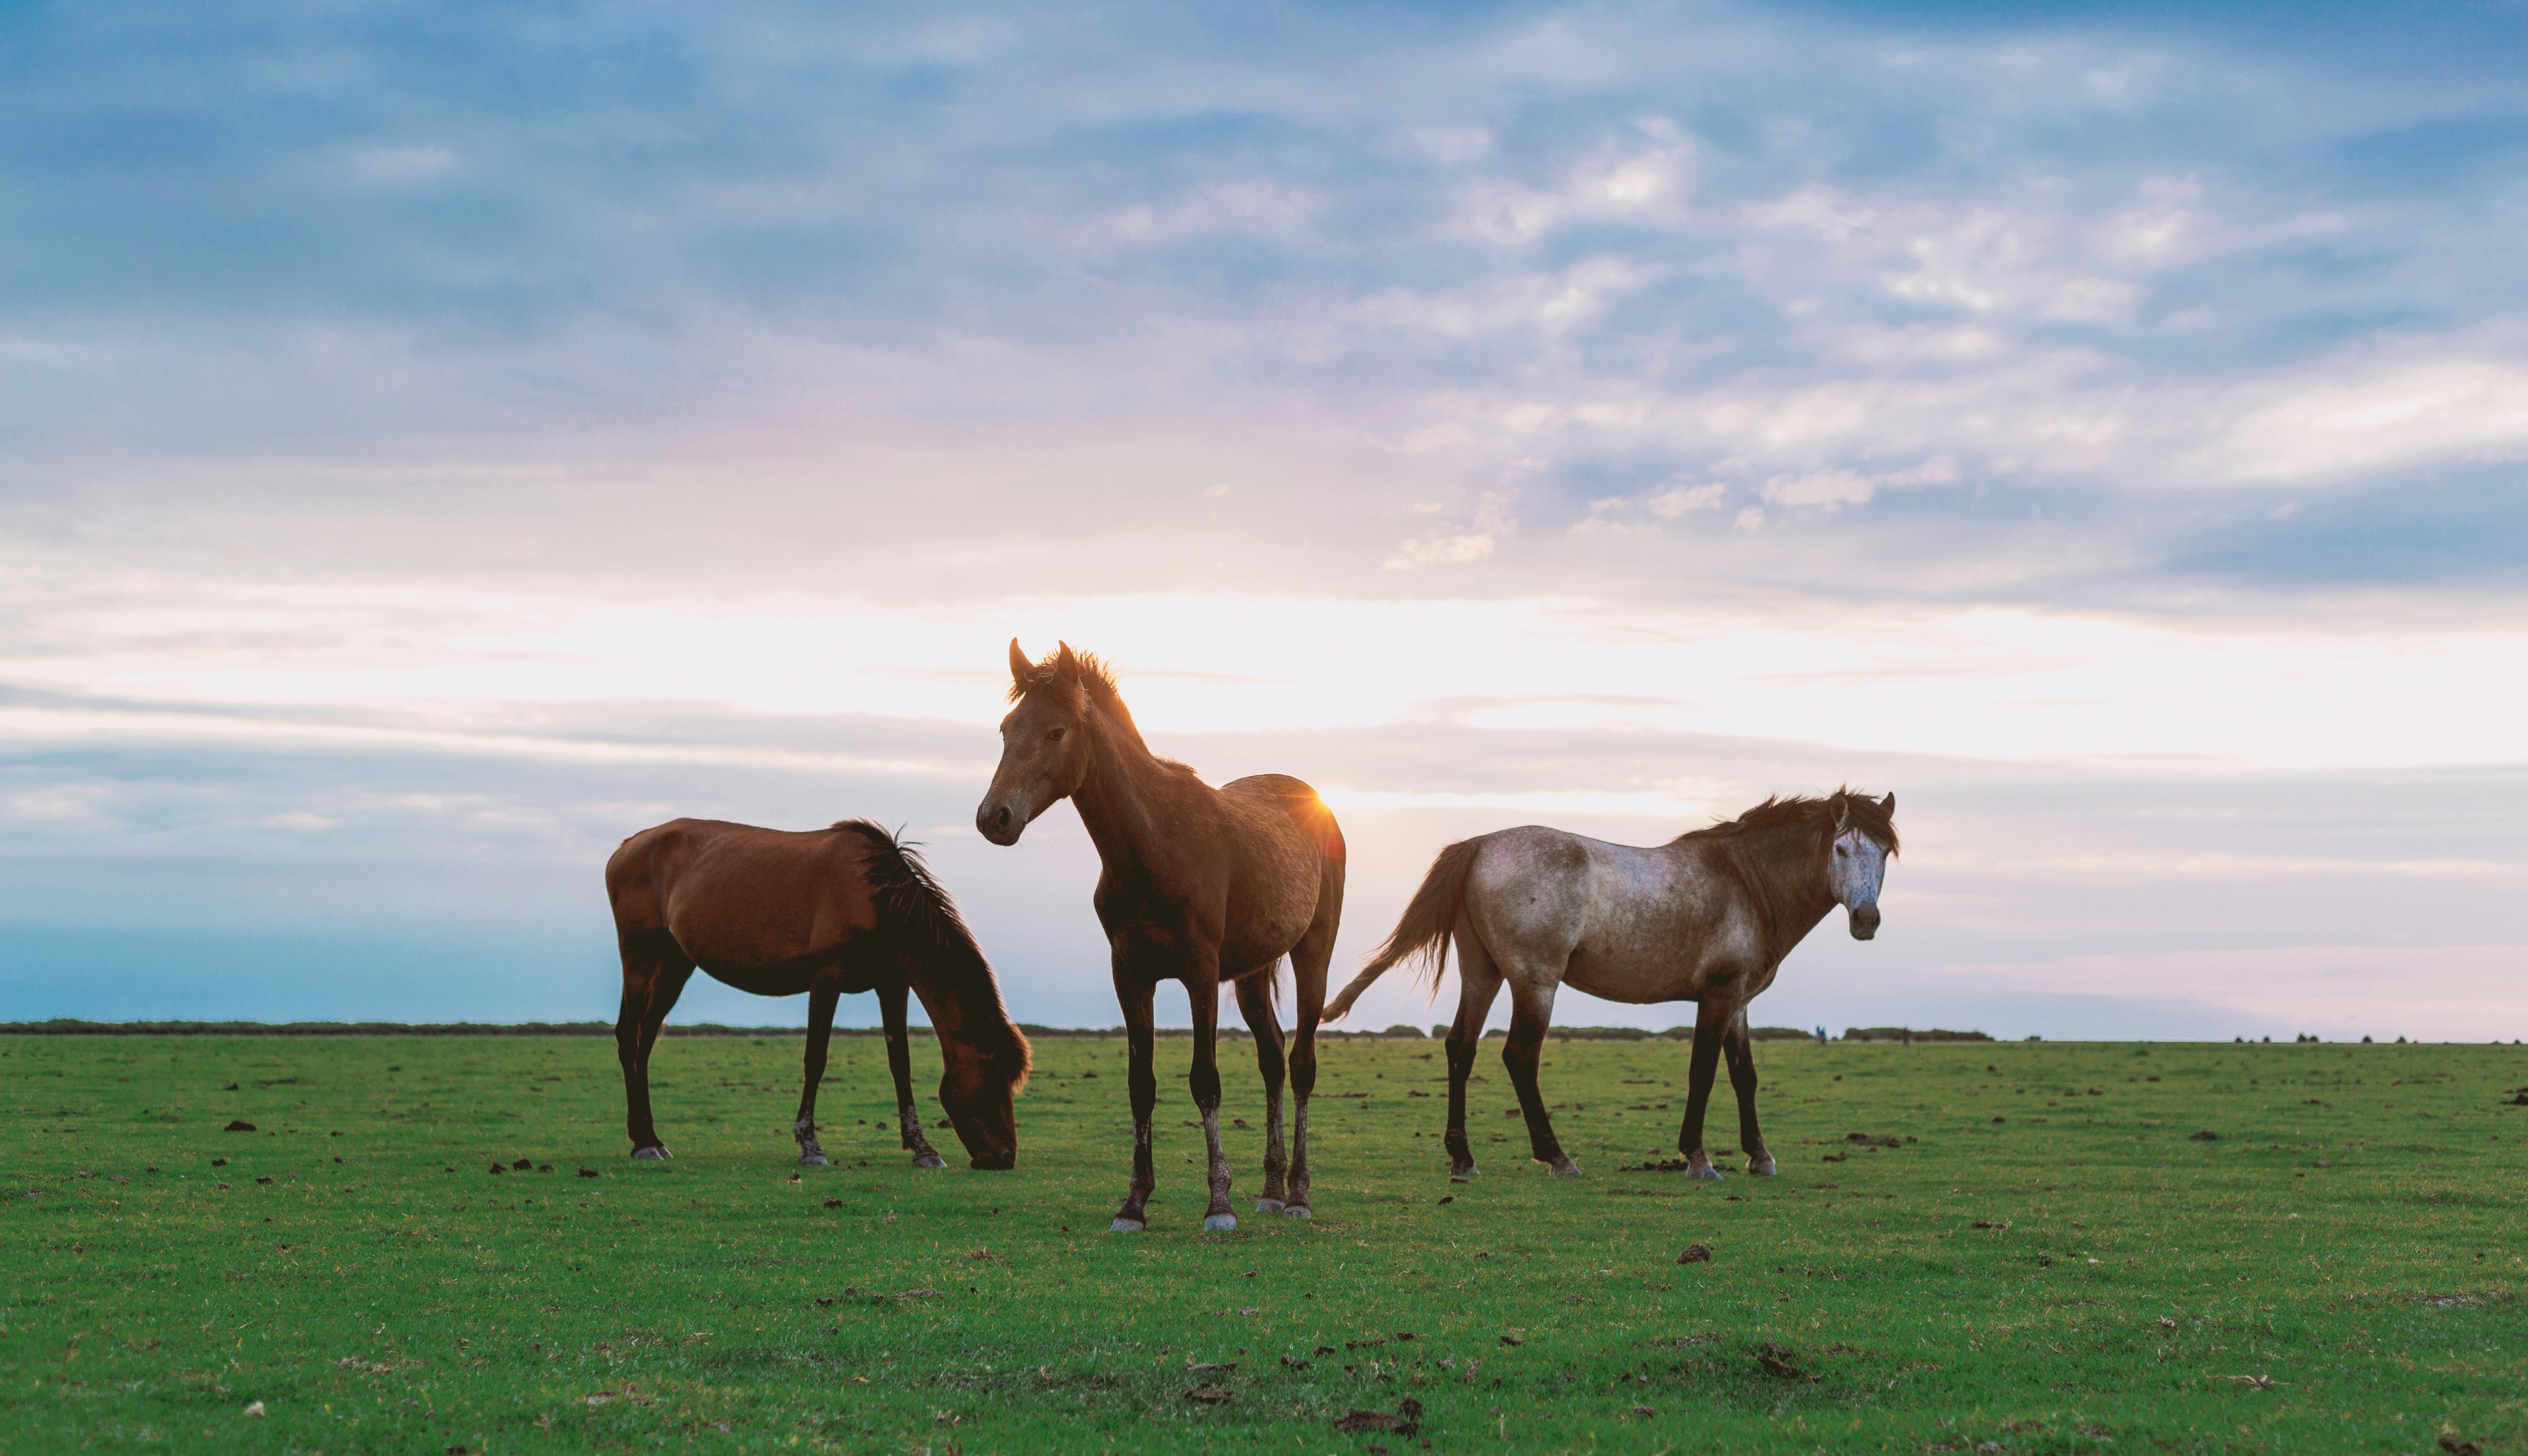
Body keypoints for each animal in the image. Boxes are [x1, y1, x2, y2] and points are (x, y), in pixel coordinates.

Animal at [604, 817, 1032, 1170]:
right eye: (991, 1076)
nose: (1004, 1157)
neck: (875, 897)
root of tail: (627, 846)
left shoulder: (893, 984)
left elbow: (900, 1063)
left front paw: (923, 1148)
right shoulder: (826, 978)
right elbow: (816, 1058)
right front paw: (810, 1146)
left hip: (675, 963)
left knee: (644, 1042)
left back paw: (651, 1137)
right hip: (639, 956)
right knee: (628, 1037)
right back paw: (643, 1144)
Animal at [974, 641, 1346, 1231]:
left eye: (1056, 732)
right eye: (1007, 729)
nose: (995, 818)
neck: (1156, 842)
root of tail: (1316, 803)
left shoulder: (1199, 972)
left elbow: (1205, 1081)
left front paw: (1218, 1204)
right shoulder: (1131, 974)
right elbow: (1140, 1086)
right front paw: (1134, 1204)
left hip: (1313, 953)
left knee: (1301, 1065)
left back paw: (1297, 1196)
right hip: (1251, 974)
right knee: (1271, 1060)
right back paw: (1270, 1189)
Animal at [1324, 791, 1896, 1182]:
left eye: (1884, 853)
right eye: (1841, 850)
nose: (1866, 920)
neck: (1746, 882)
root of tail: (1481, 846)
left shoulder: (1738, 1003)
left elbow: (1744, 1077)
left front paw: (1760, 1156)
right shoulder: (1717, 996)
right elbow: (1703, 1074)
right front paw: (1698, 1159)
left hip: (1482, 973)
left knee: (1461, 1048)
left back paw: (1463, 1159)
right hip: (1535, 981)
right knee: (1519, 1057)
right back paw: (1556, 1157)